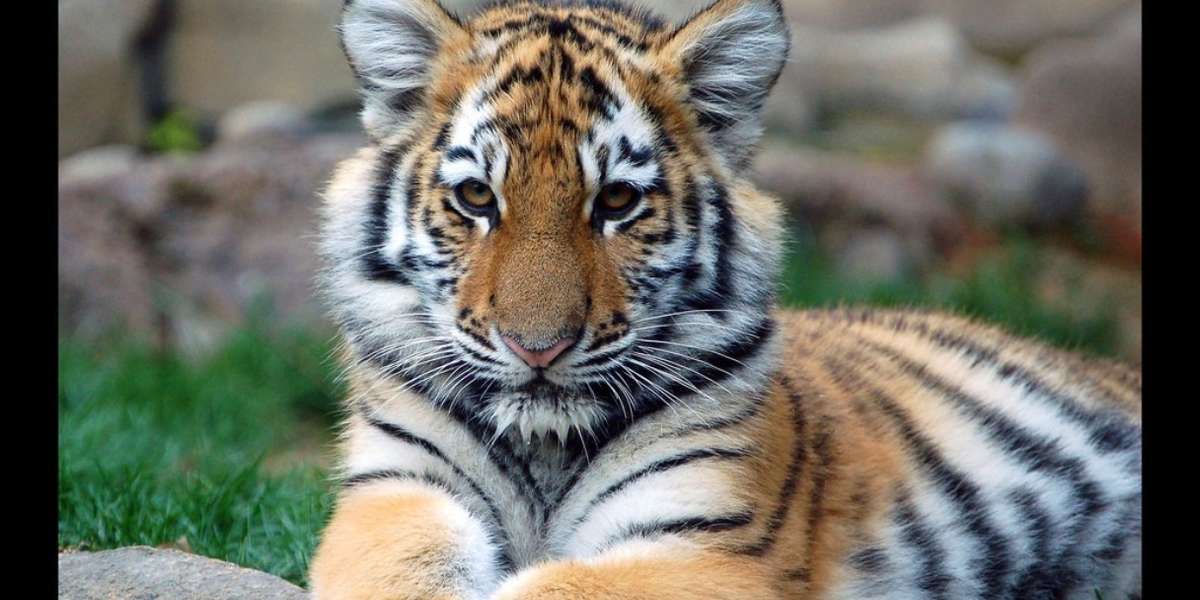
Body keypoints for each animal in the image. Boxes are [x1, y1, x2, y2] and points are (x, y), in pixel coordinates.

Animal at [309, 0, 1143, 598]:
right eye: (478, 198)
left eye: (617, 202)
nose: (537, 348)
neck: (544, 444)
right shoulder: (396, 492)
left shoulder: (708, 540)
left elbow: (557, 586)